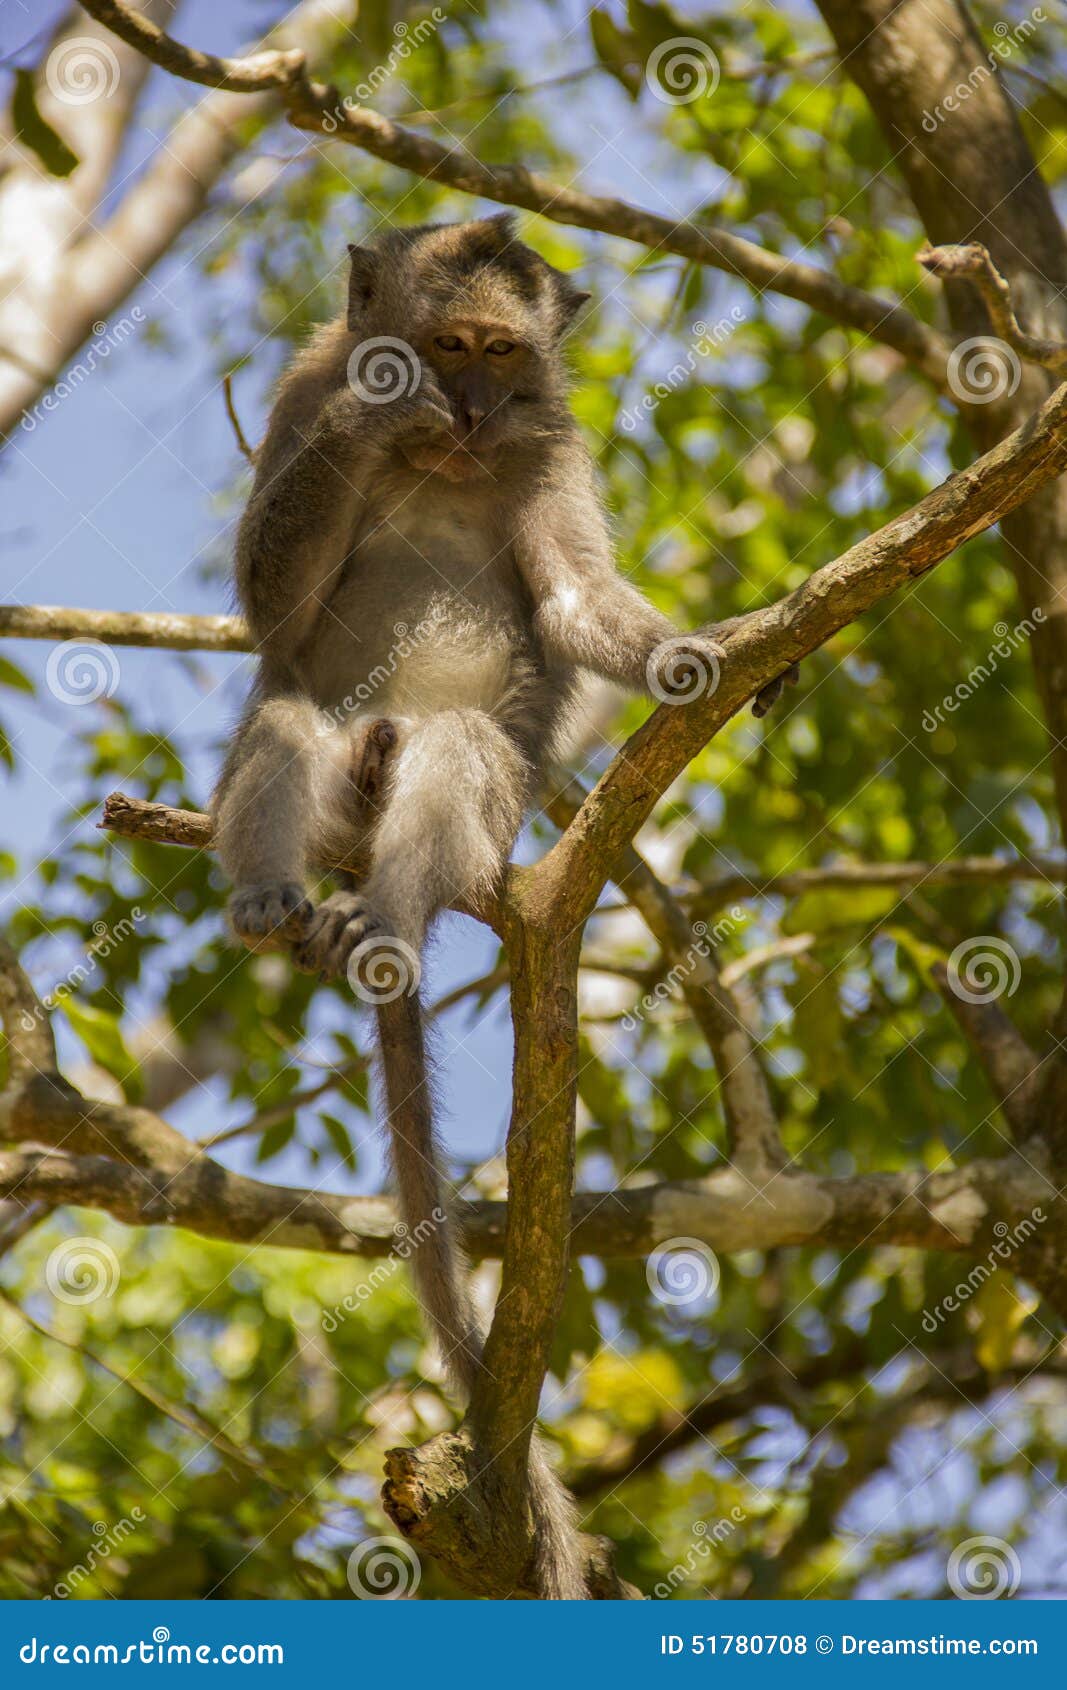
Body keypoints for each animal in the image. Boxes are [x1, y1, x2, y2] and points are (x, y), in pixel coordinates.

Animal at [211, 215, 796, 1598]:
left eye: (499, 353)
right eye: (440, 348)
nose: (468, 410)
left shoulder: (549, 441)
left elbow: (574, 604)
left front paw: (688, 655)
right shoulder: (297, 396)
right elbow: (269, 608)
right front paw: (374, 419)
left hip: (478, 822)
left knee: (462, 749)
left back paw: (381, 926)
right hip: (335, 800)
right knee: (291, 714)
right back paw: (275, 898)